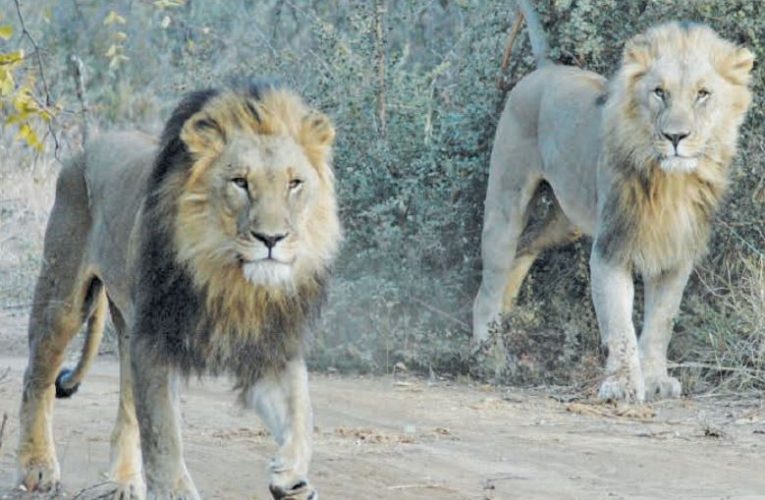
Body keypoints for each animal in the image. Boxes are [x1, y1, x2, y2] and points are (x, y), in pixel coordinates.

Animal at [17, 82, 339, 500]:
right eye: (240, 182)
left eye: (294, 183)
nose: (272, 238)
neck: (229, 277)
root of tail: (86, 149)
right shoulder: (154, 343)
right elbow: (163, 434)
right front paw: (176, 491)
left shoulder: (268, 343)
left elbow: (301, 412)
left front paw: (291, 476)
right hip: (63, 298)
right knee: (37, 379)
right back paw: (38, 468)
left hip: (128, 327)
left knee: (126, 405)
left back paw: (124, 480)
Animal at [473, 1, 753, 403]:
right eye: (659, 92)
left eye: (703, 94)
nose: (676, 136)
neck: (672, 182)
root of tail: (546, 68)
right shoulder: (611, 247)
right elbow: (619, 324)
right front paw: (622, 385)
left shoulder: (677, 253)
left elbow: (662, 322)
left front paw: (656, 379)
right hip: (506, 203)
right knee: (489, 283)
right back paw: (489, 356)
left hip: (567, 223)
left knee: (525, 249)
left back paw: (506, 315)